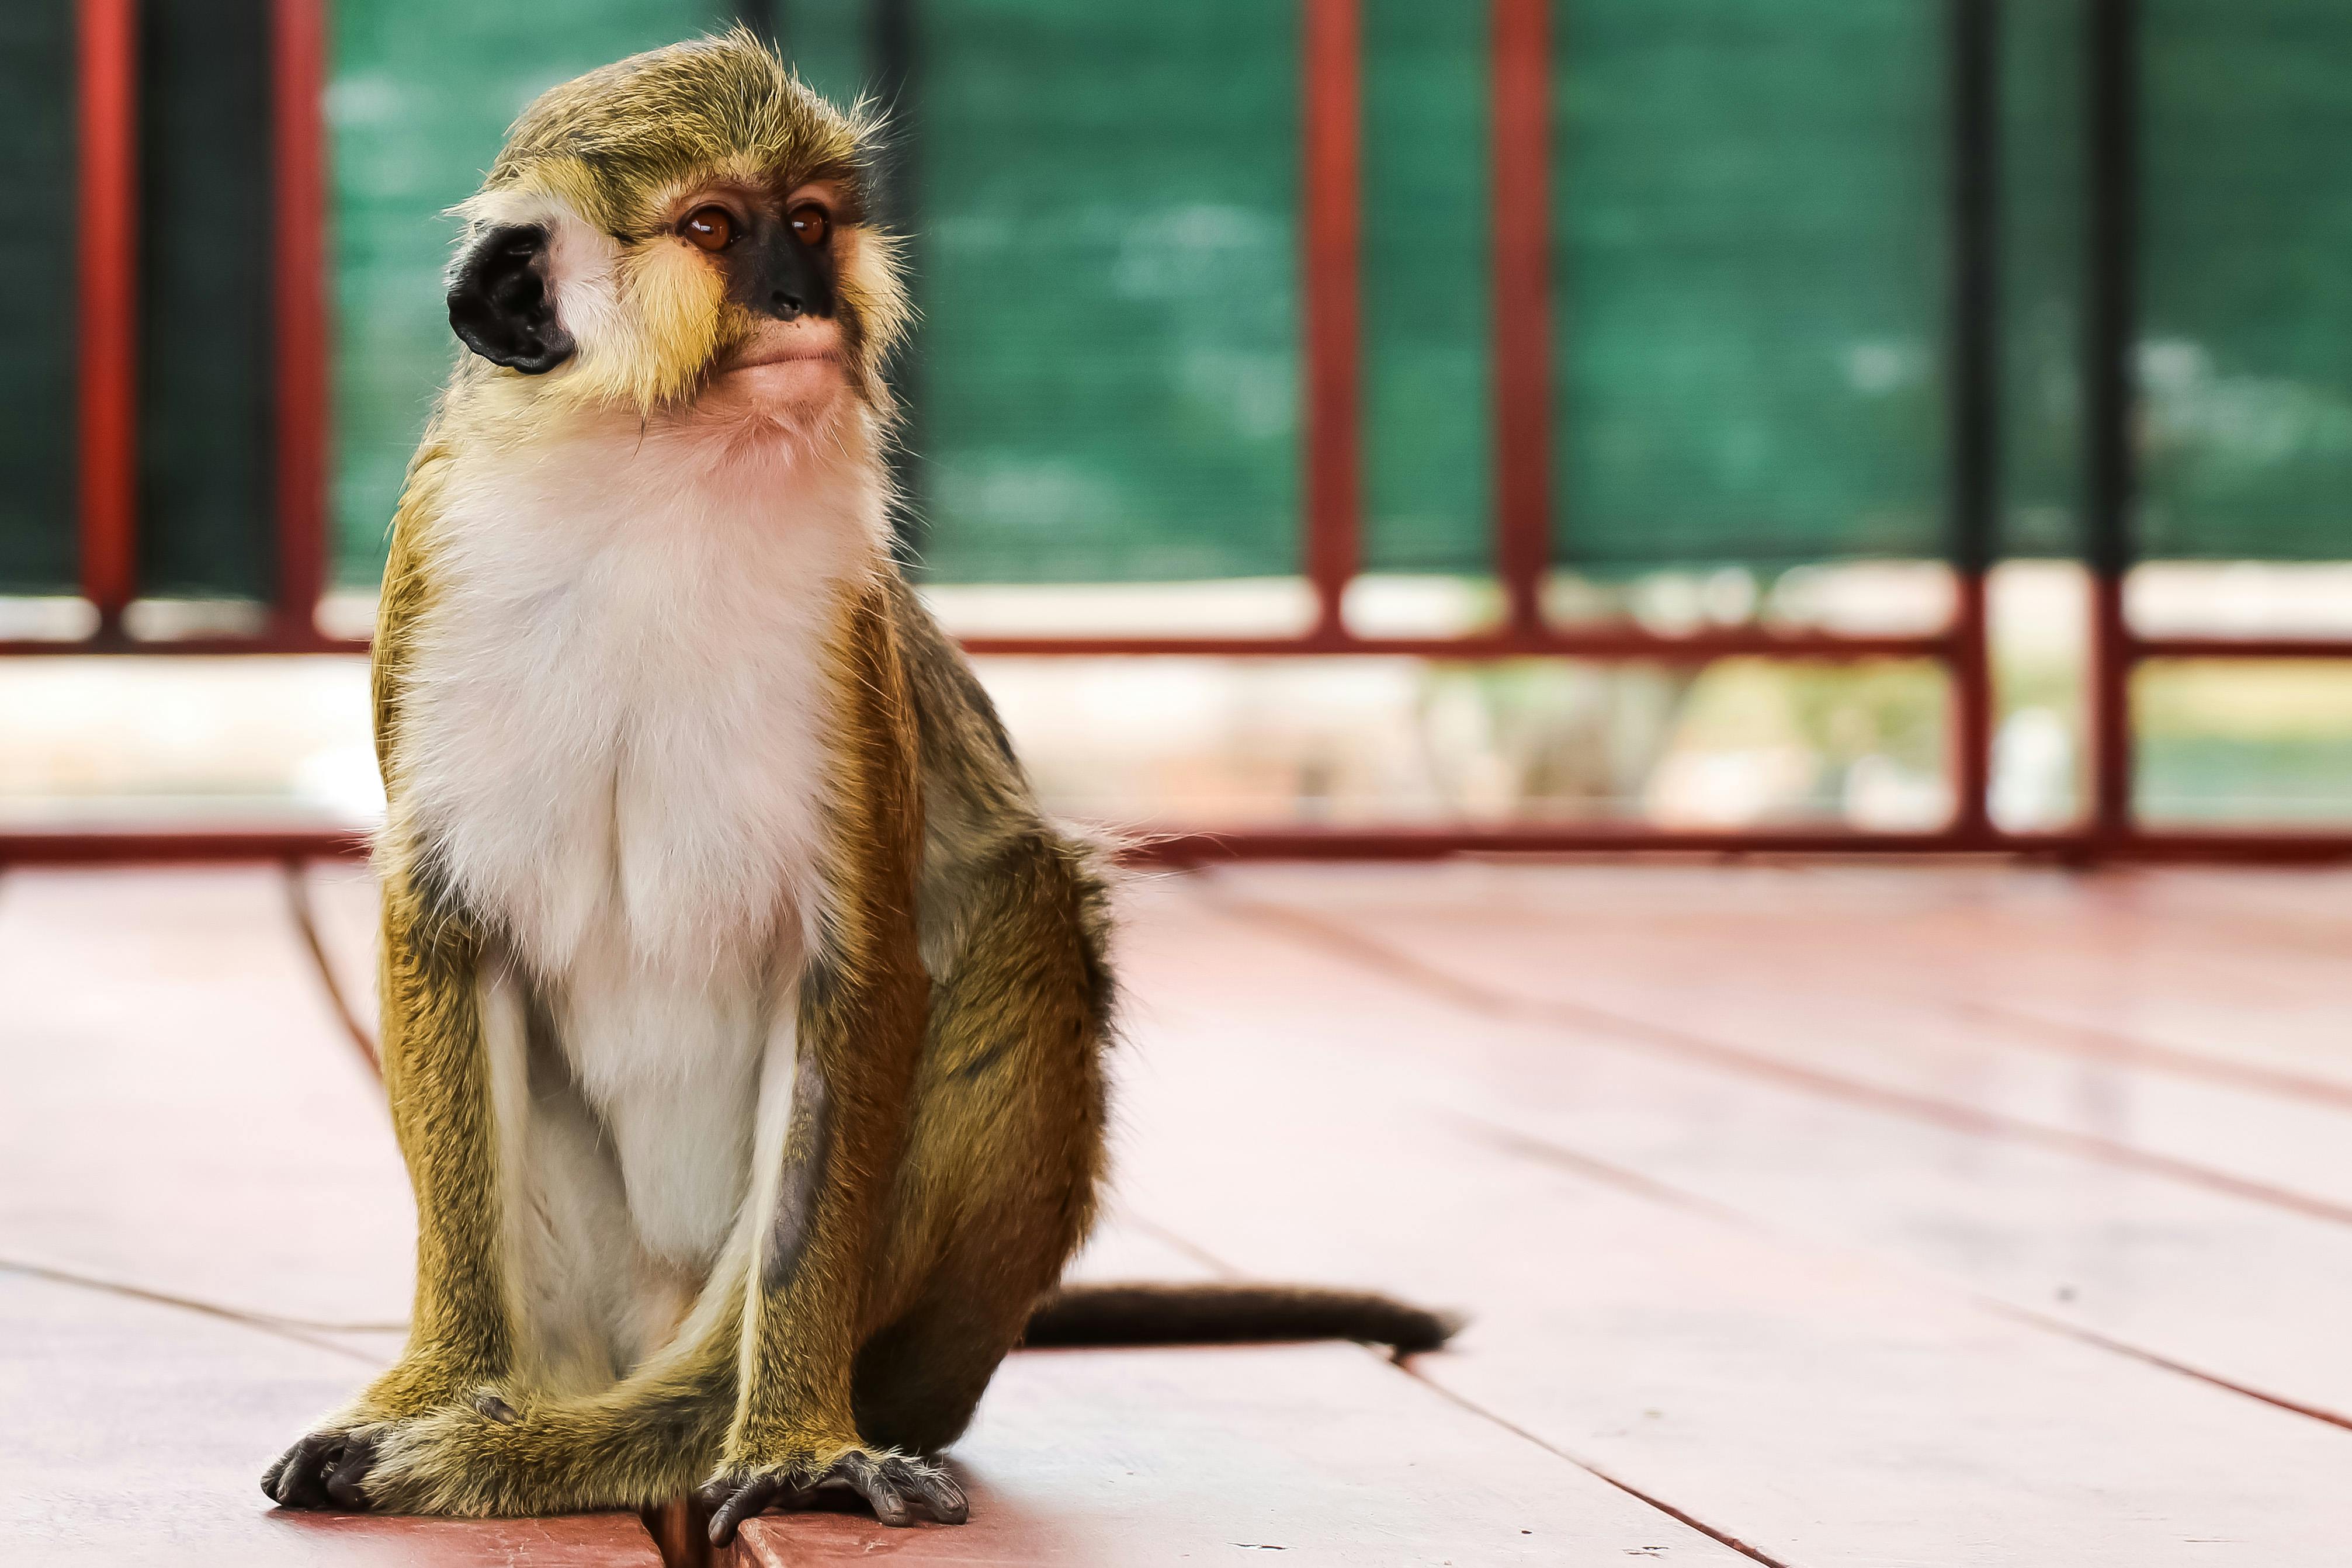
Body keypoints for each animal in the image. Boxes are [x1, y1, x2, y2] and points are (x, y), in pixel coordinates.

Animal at [261, 32, 1452, 1544]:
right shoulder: (435, 578)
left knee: (1025, 899)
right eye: (719, 229)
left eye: (815, 222)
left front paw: (795, 1441)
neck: (657, 479)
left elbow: (863, 965)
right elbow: (446, 931)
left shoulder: (846, 655)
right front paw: (434, 1387)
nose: (799, 298)